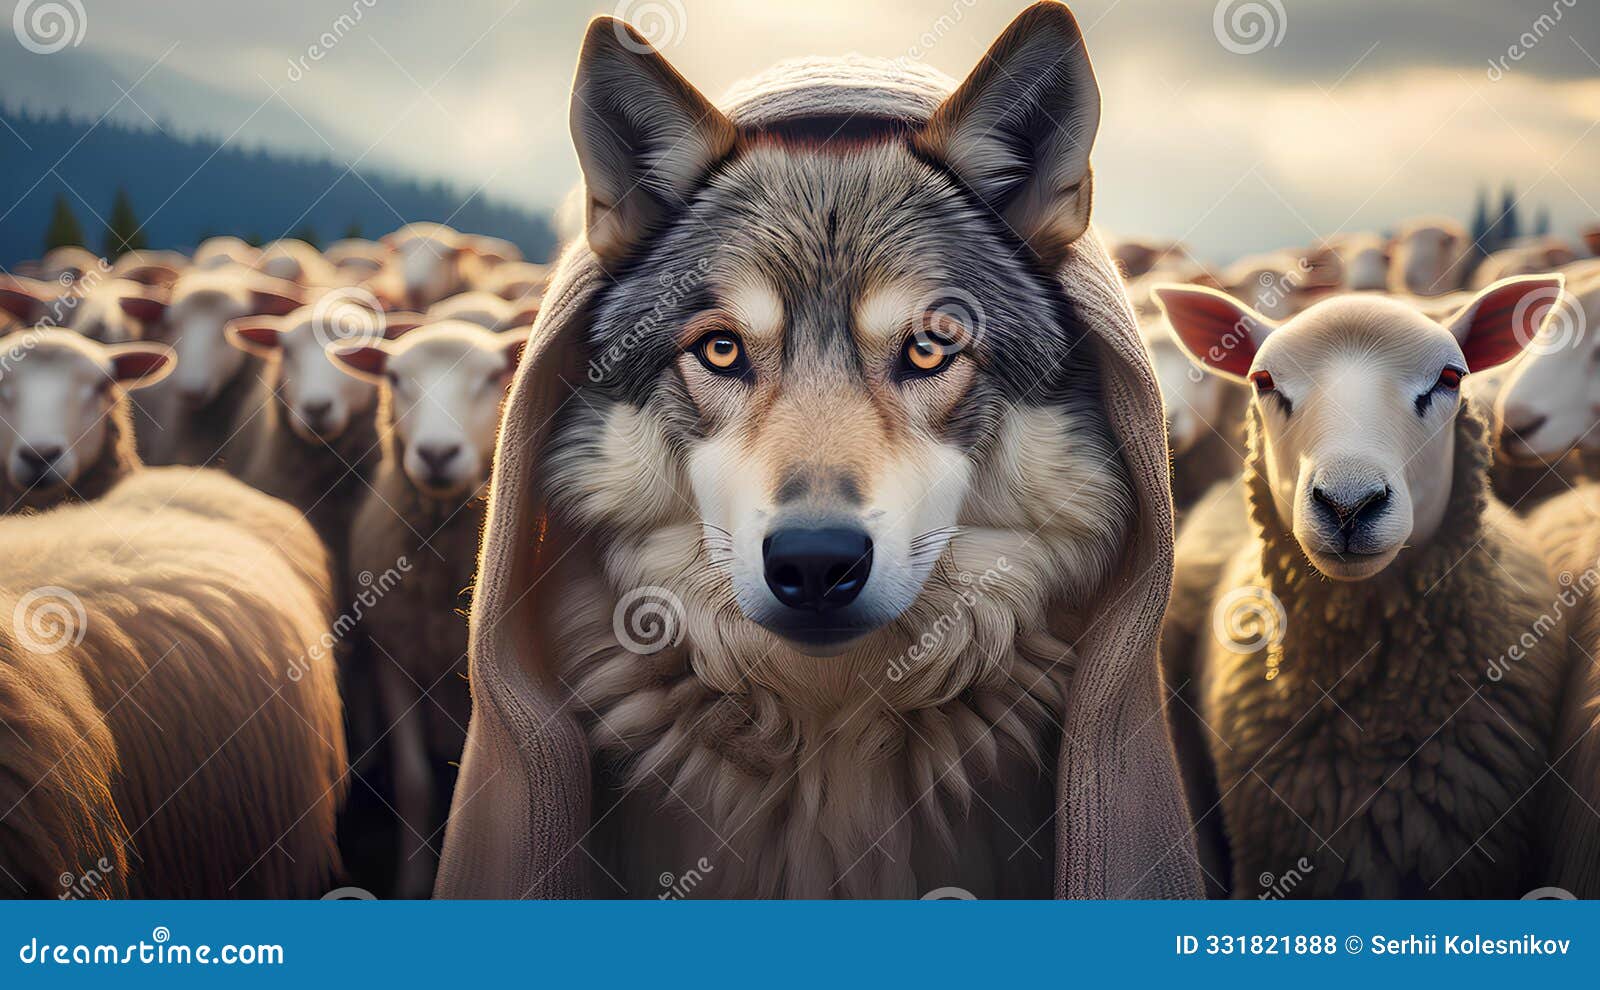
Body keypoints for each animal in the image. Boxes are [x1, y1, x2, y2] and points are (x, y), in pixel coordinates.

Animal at [328, 319, 529, 897]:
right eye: (396, 378)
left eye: (493, 376)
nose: (438, 453)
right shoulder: (391, 654)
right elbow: (413, 783)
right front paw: (415, 879)